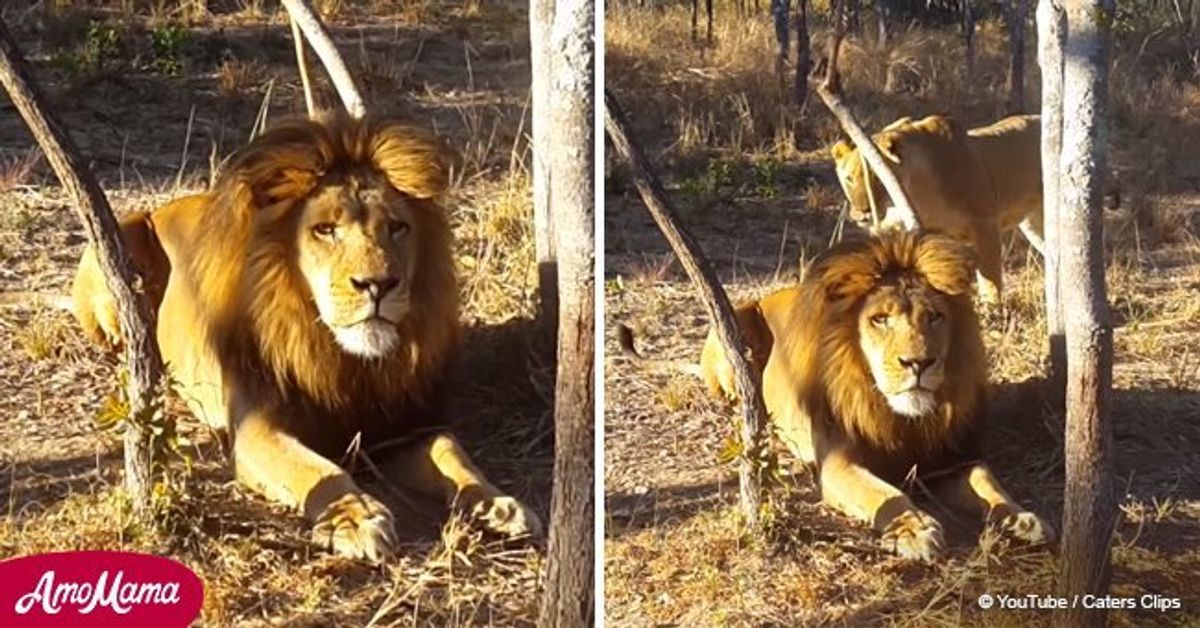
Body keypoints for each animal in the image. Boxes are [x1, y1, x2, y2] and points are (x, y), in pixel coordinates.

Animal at [71, 114, 540, 562]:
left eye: (397, 227)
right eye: (325, 230)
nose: (378, 284)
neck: (346, 361)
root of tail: (163, 207)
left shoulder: (407, 424)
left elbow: (453, 455)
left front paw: (497, 504)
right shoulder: (255, 429)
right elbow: (322, 473)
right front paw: (357, 519)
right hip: (118, 251)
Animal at [700, 229, 1054, 561]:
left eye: (934, 316)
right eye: (880, 319)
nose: (918, 363)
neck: (904, 420)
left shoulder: (950, 460)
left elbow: (986, 480)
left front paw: (1021, 519)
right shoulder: (837, 464)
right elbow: (886, 496)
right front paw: (915, 530)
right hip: (736, 339)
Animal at [830, 114, 1043, 303]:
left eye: (879, 179)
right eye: (849, 178)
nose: (862, 212)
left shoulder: (985, 223)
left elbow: (989, 279)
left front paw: (992, 310)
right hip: (1034, 225)